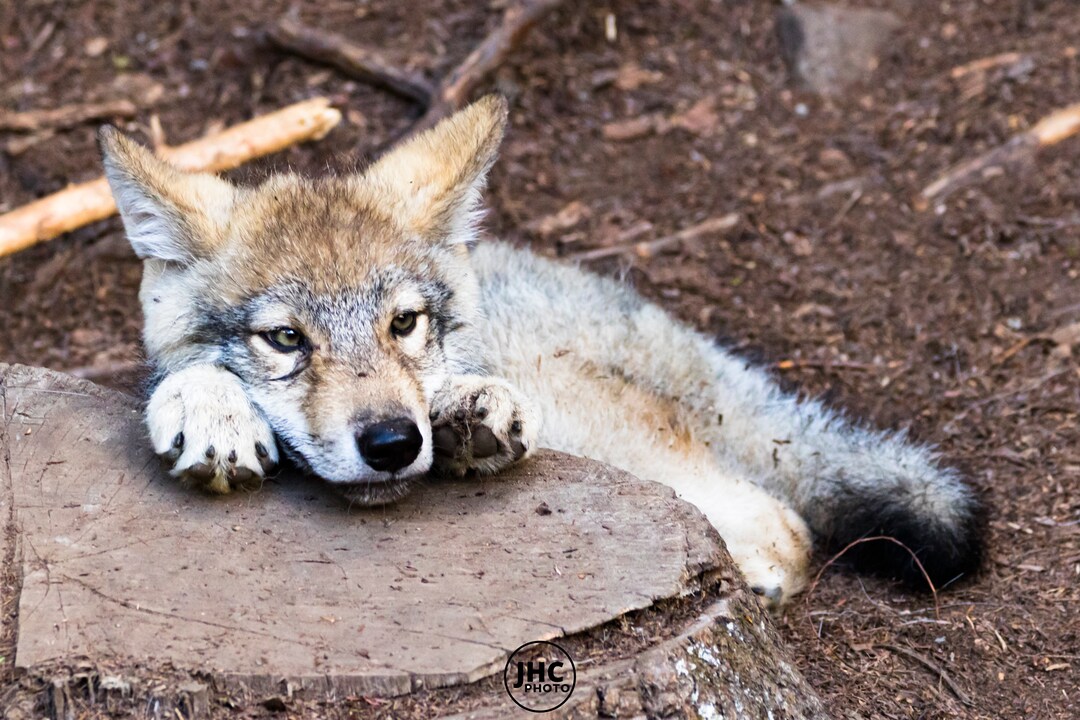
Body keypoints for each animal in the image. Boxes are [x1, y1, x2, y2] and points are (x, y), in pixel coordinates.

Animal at [98, 95, 982, 607]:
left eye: (404, 324)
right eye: (285, 339)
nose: (392, 444)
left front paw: (465, 412)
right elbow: (188, 374)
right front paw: (210, 410)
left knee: (781, 525)